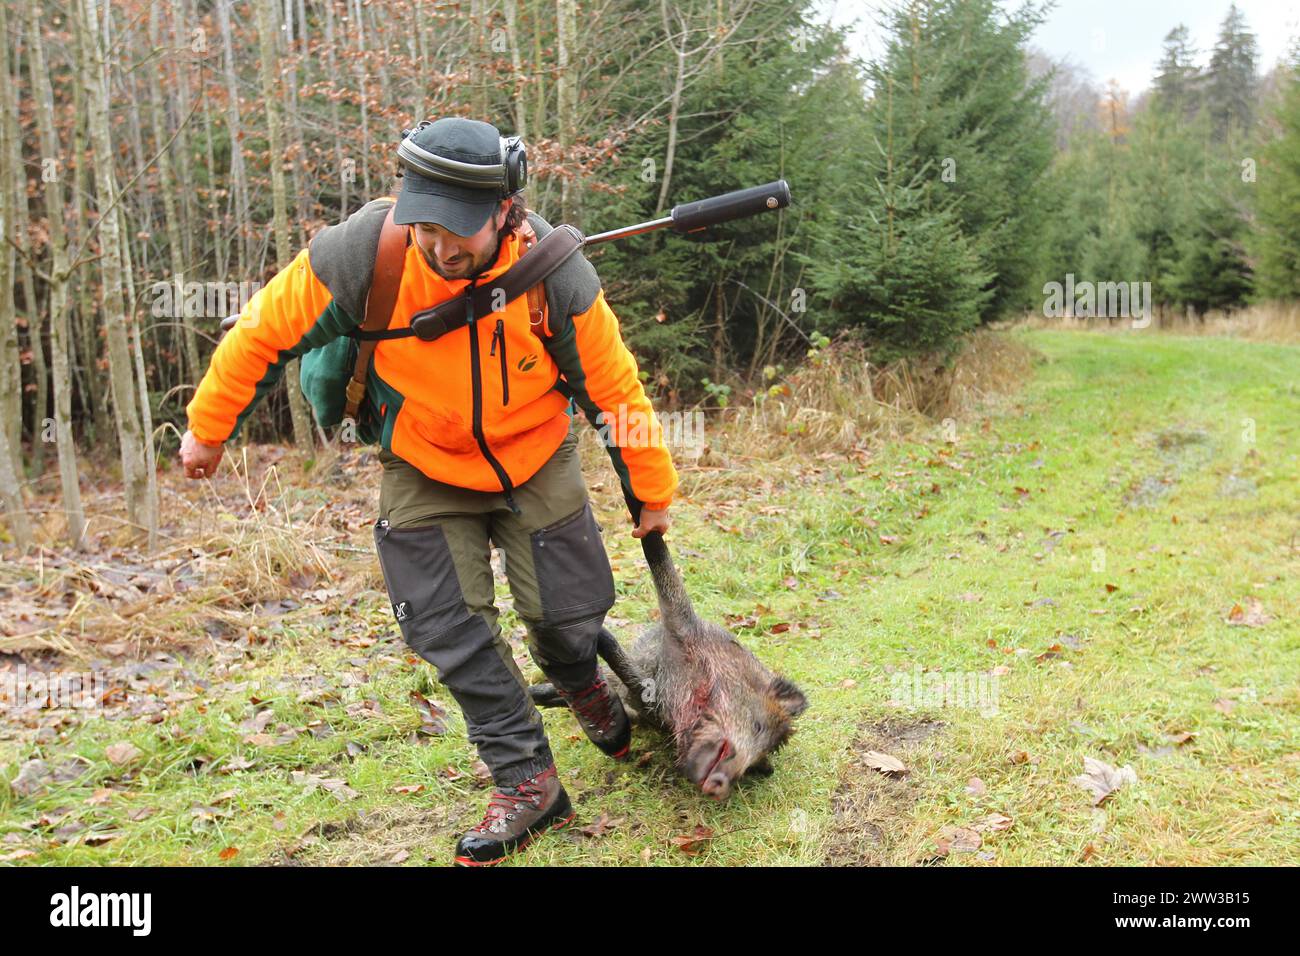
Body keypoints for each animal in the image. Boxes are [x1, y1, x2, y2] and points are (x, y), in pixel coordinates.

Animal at [530, 531, 808, 800]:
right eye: (758, 726)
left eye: (754, 764)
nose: (721, 786)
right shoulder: (679, 621)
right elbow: (659, 561)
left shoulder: (651, 706)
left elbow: (627, 677)